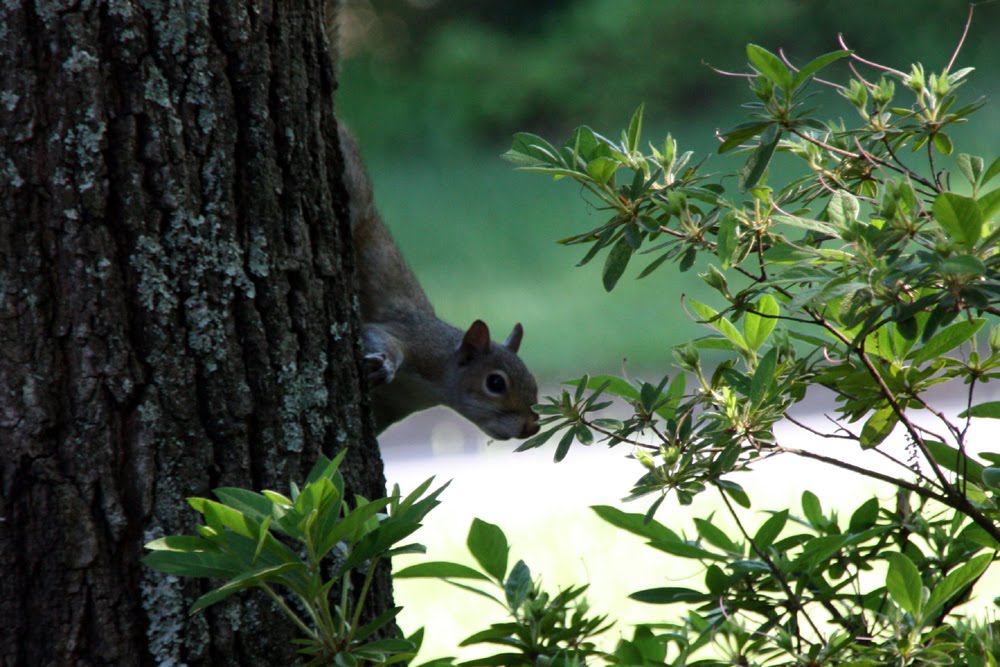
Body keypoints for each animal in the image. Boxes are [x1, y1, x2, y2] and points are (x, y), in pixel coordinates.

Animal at [339, 127, 540, 440]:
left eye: (534, 384)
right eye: (495, 383)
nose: (531, 427)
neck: (432, 389)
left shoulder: (390, 407)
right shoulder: (418, 341)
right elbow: (379, 333)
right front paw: (385, 365)